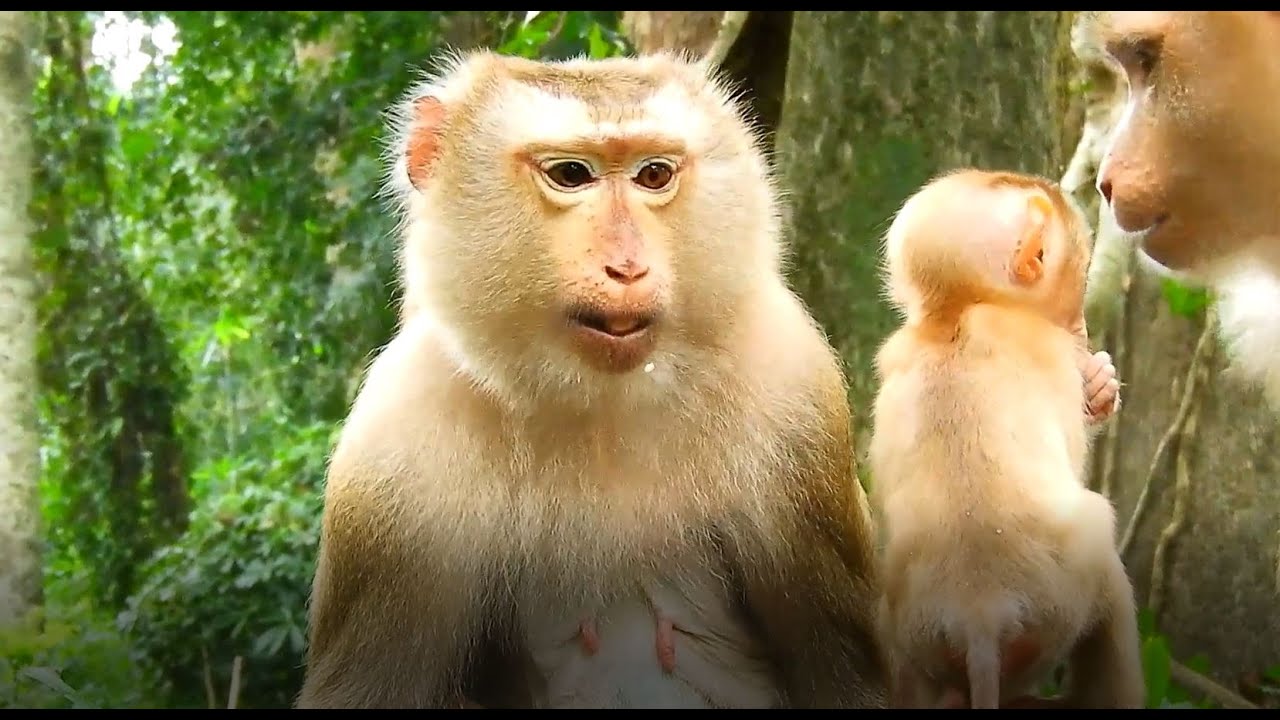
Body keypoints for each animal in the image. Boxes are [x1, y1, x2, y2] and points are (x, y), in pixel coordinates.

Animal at [294, 49, 887, 709]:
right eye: (572, 174)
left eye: (654, 175)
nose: (627, 267)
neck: (604, 403)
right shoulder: (397, 438)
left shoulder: (791, 382)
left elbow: (843, 670)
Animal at [866, 168, 1146, 709]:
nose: (1083, 326)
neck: (957, 311)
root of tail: (980, 610)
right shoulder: (1049, 349)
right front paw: (1098, 388)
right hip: (1063, 602)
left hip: (915, 634)